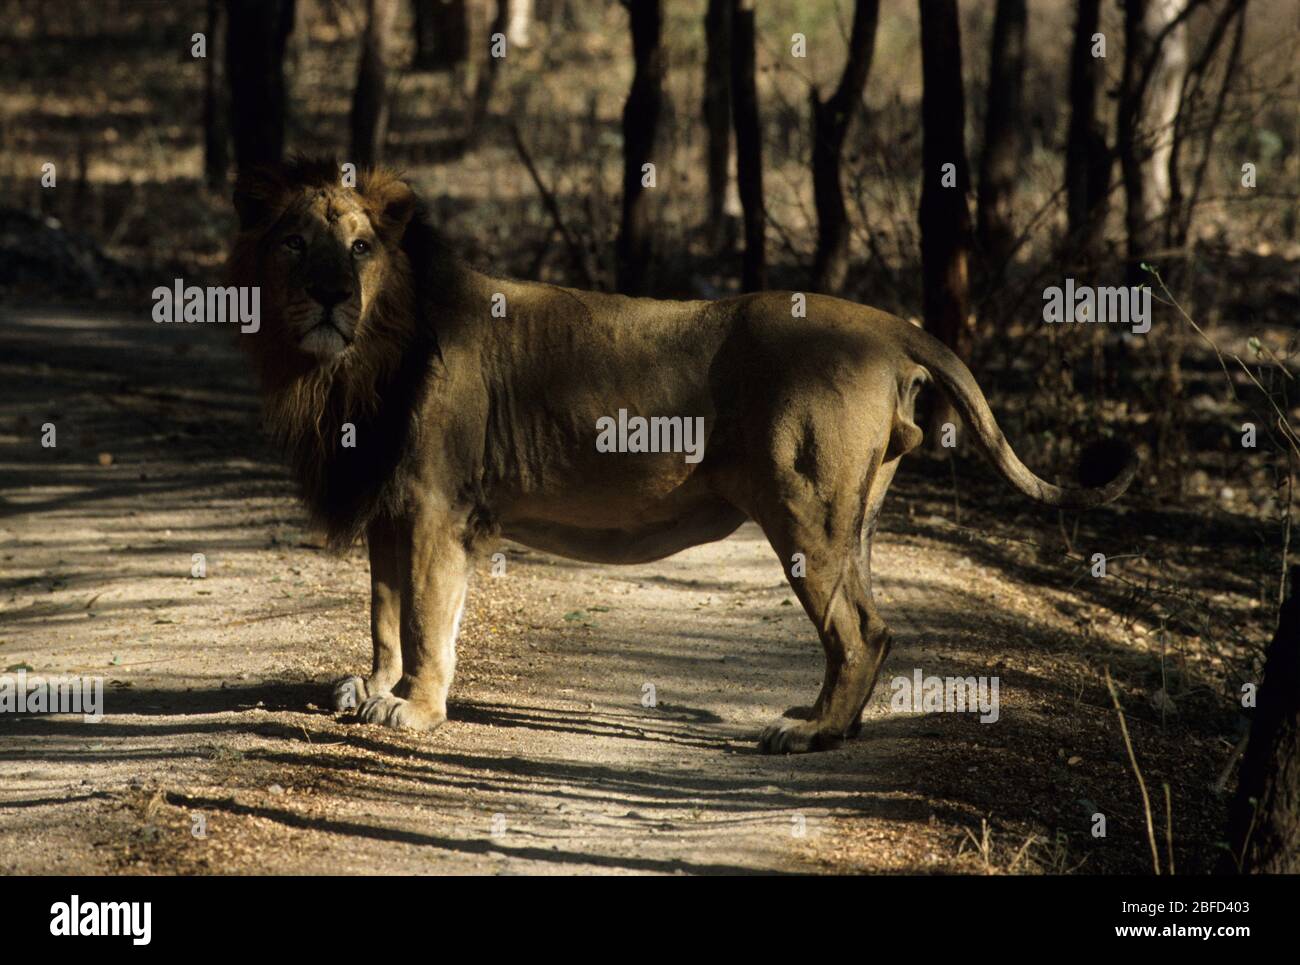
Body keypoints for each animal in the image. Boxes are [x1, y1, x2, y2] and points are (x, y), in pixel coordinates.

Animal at [229, 158, 1135, 754]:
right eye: (294, 243)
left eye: (358, 249)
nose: (330, 295)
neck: (348, 366)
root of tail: (888, 323)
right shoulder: (389, 506)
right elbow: (384, 616)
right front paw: (374, 686)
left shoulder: (434, 507)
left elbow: (424, 619)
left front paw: (414, 709)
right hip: (851, 518)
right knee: (871, 626)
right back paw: (826, 723)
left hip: (805, 512)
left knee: (858, 630)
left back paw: (812, 732)